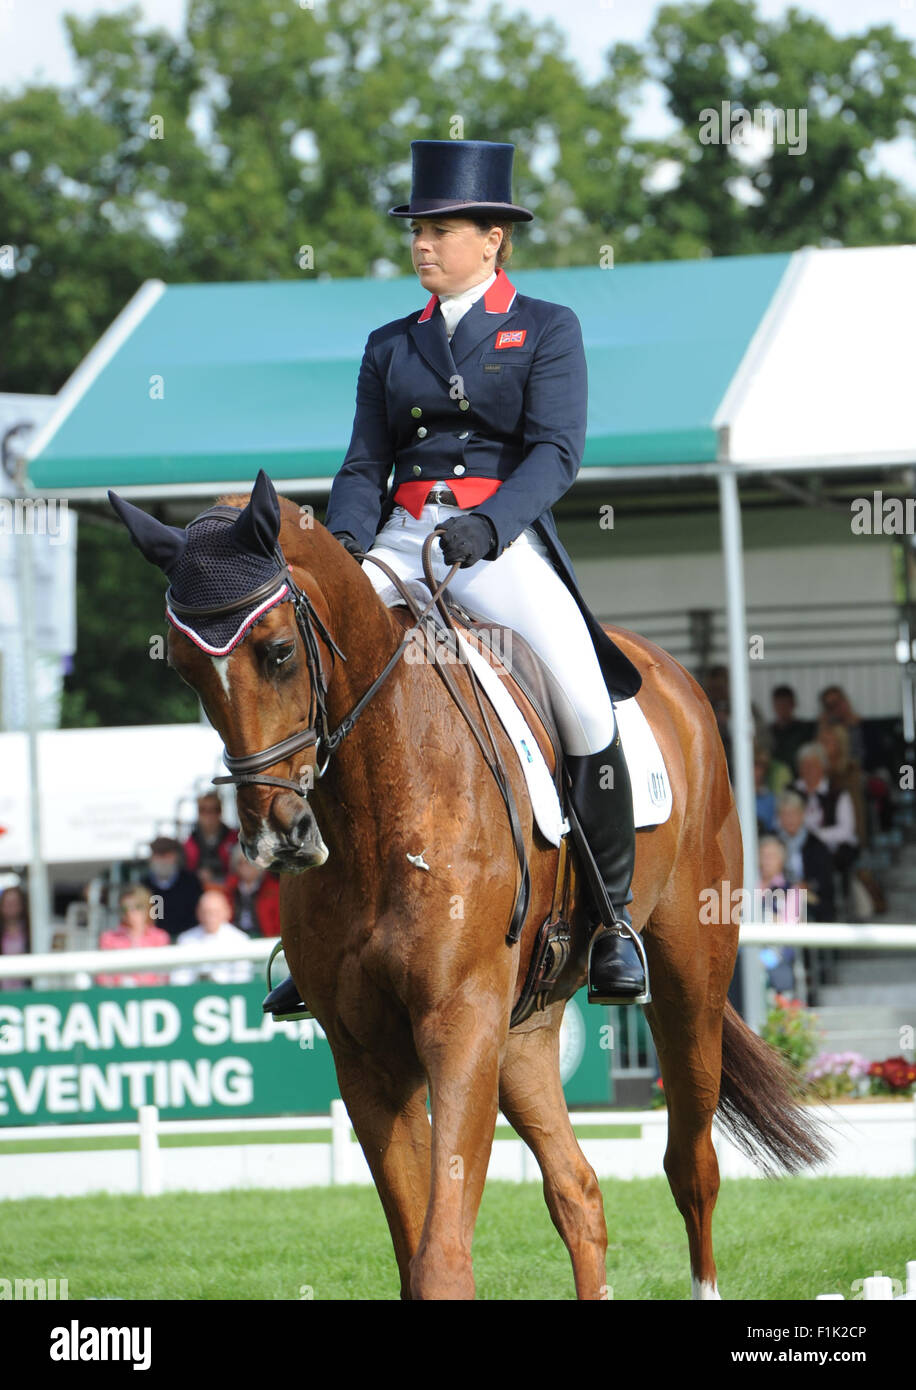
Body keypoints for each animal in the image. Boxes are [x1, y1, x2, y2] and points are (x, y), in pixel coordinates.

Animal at [110, 471, 828, 1301]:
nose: (275, 835)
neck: (382, 798)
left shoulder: (457, 1025)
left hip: (690, 982)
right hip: (523, 1030)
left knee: (693, 1165)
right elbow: (417, 1249)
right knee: (578, 1190)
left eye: (279, 651)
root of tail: (675, 678)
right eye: (184, 670)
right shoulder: (367, 1054)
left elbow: (441, 1259)